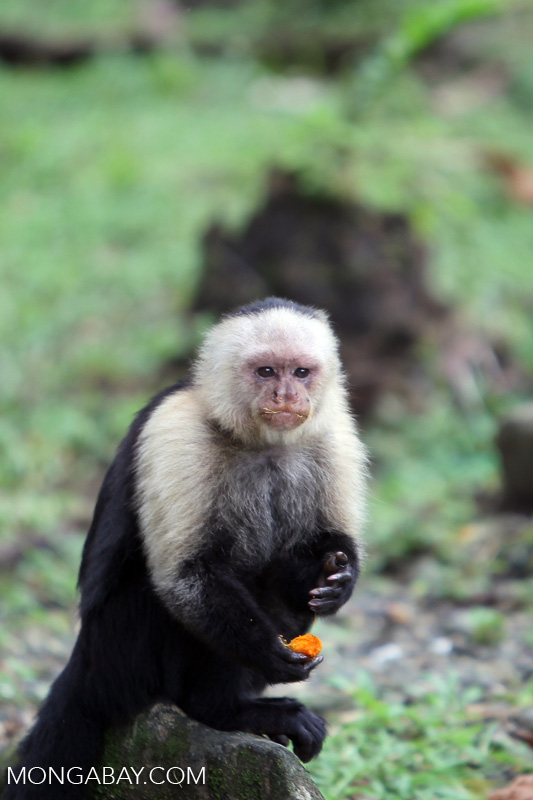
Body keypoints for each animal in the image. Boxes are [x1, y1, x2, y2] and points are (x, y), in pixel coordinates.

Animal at [5, 297, 367, 799]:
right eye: (266, 371)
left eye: (301, 372)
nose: (287, 395)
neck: (259, 441)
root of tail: (89, 662)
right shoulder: (177, 430)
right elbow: (187, 577)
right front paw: (266, 653)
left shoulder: (335, 433)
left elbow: (320, 554)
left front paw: (336, 578)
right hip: (125, 654)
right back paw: (222, 709)